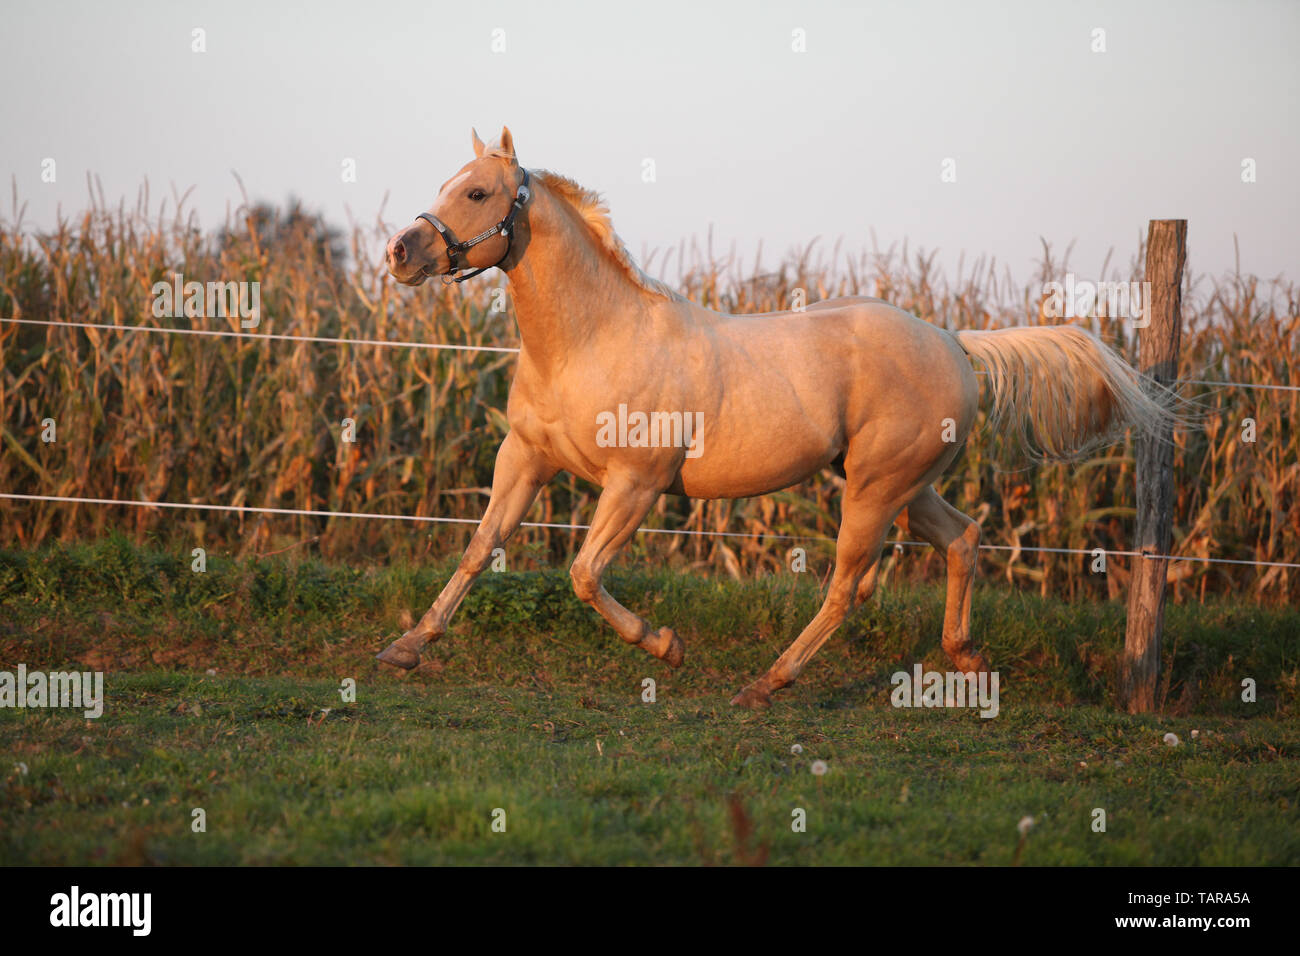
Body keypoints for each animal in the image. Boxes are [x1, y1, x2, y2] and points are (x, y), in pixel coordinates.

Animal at [378, 126, 1174, 708]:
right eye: (447, 183)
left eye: (477, 191)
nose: (400, 251)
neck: (590, 341)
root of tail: (954, 341)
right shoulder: (525, 457)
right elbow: (480, 547)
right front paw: (406, 649)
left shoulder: (635, 483)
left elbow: (582, 573)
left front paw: (666, 644)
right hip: (904, 486)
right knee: (964, 538)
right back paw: (967, 659)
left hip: (876, 491)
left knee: (848, 586)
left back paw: (765, 684)